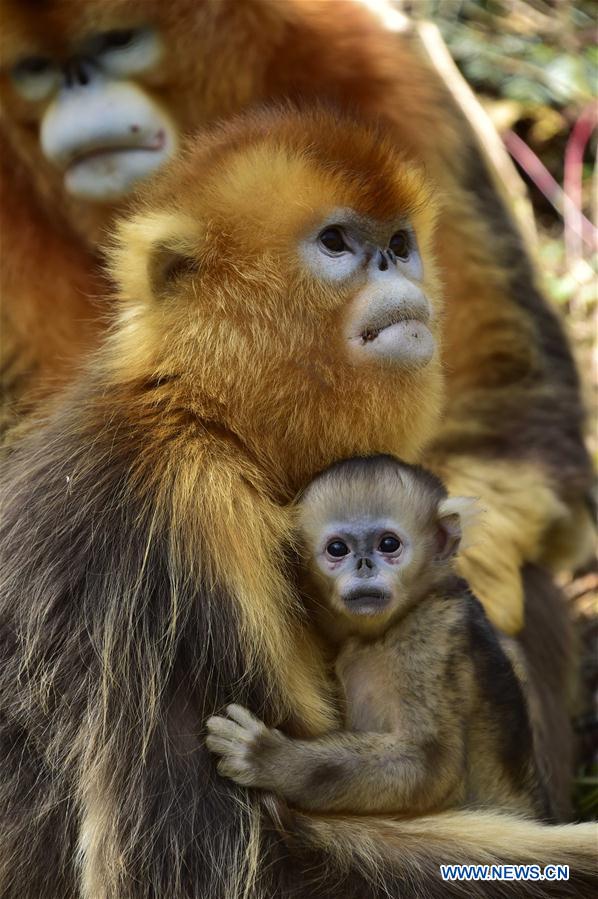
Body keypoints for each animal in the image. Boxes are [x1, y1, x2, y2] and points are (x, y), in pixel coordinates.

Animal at [207, 454, 552, 823]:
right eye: (338, 549)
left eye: (389, 544)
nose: (364, 566)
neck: (390, 627)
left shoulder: (431, 637)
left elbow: (427, 765)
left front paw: (265, 758)